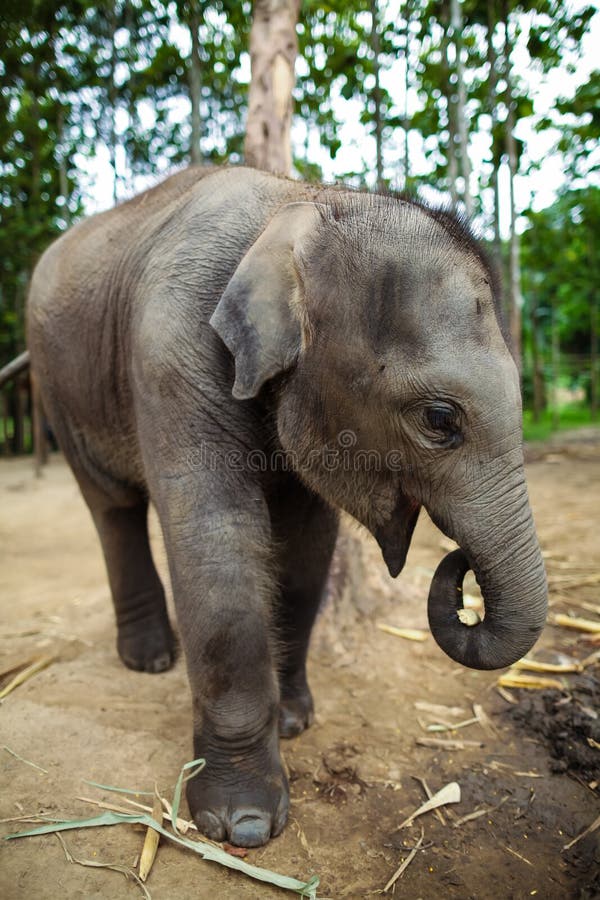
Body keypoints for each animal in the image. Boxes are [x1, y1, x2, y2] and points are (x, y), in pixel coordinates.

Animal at [27, 165, 547, 847]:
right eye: (440, 419)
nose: (461, 574)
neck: (309, 204)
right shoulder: (170, 351)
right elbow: (219, 540)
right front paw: (242, 826)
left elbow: (307, 550)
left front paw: (295, 723)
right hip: (57, 385)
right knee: (111, 505)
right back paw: (151, 662)